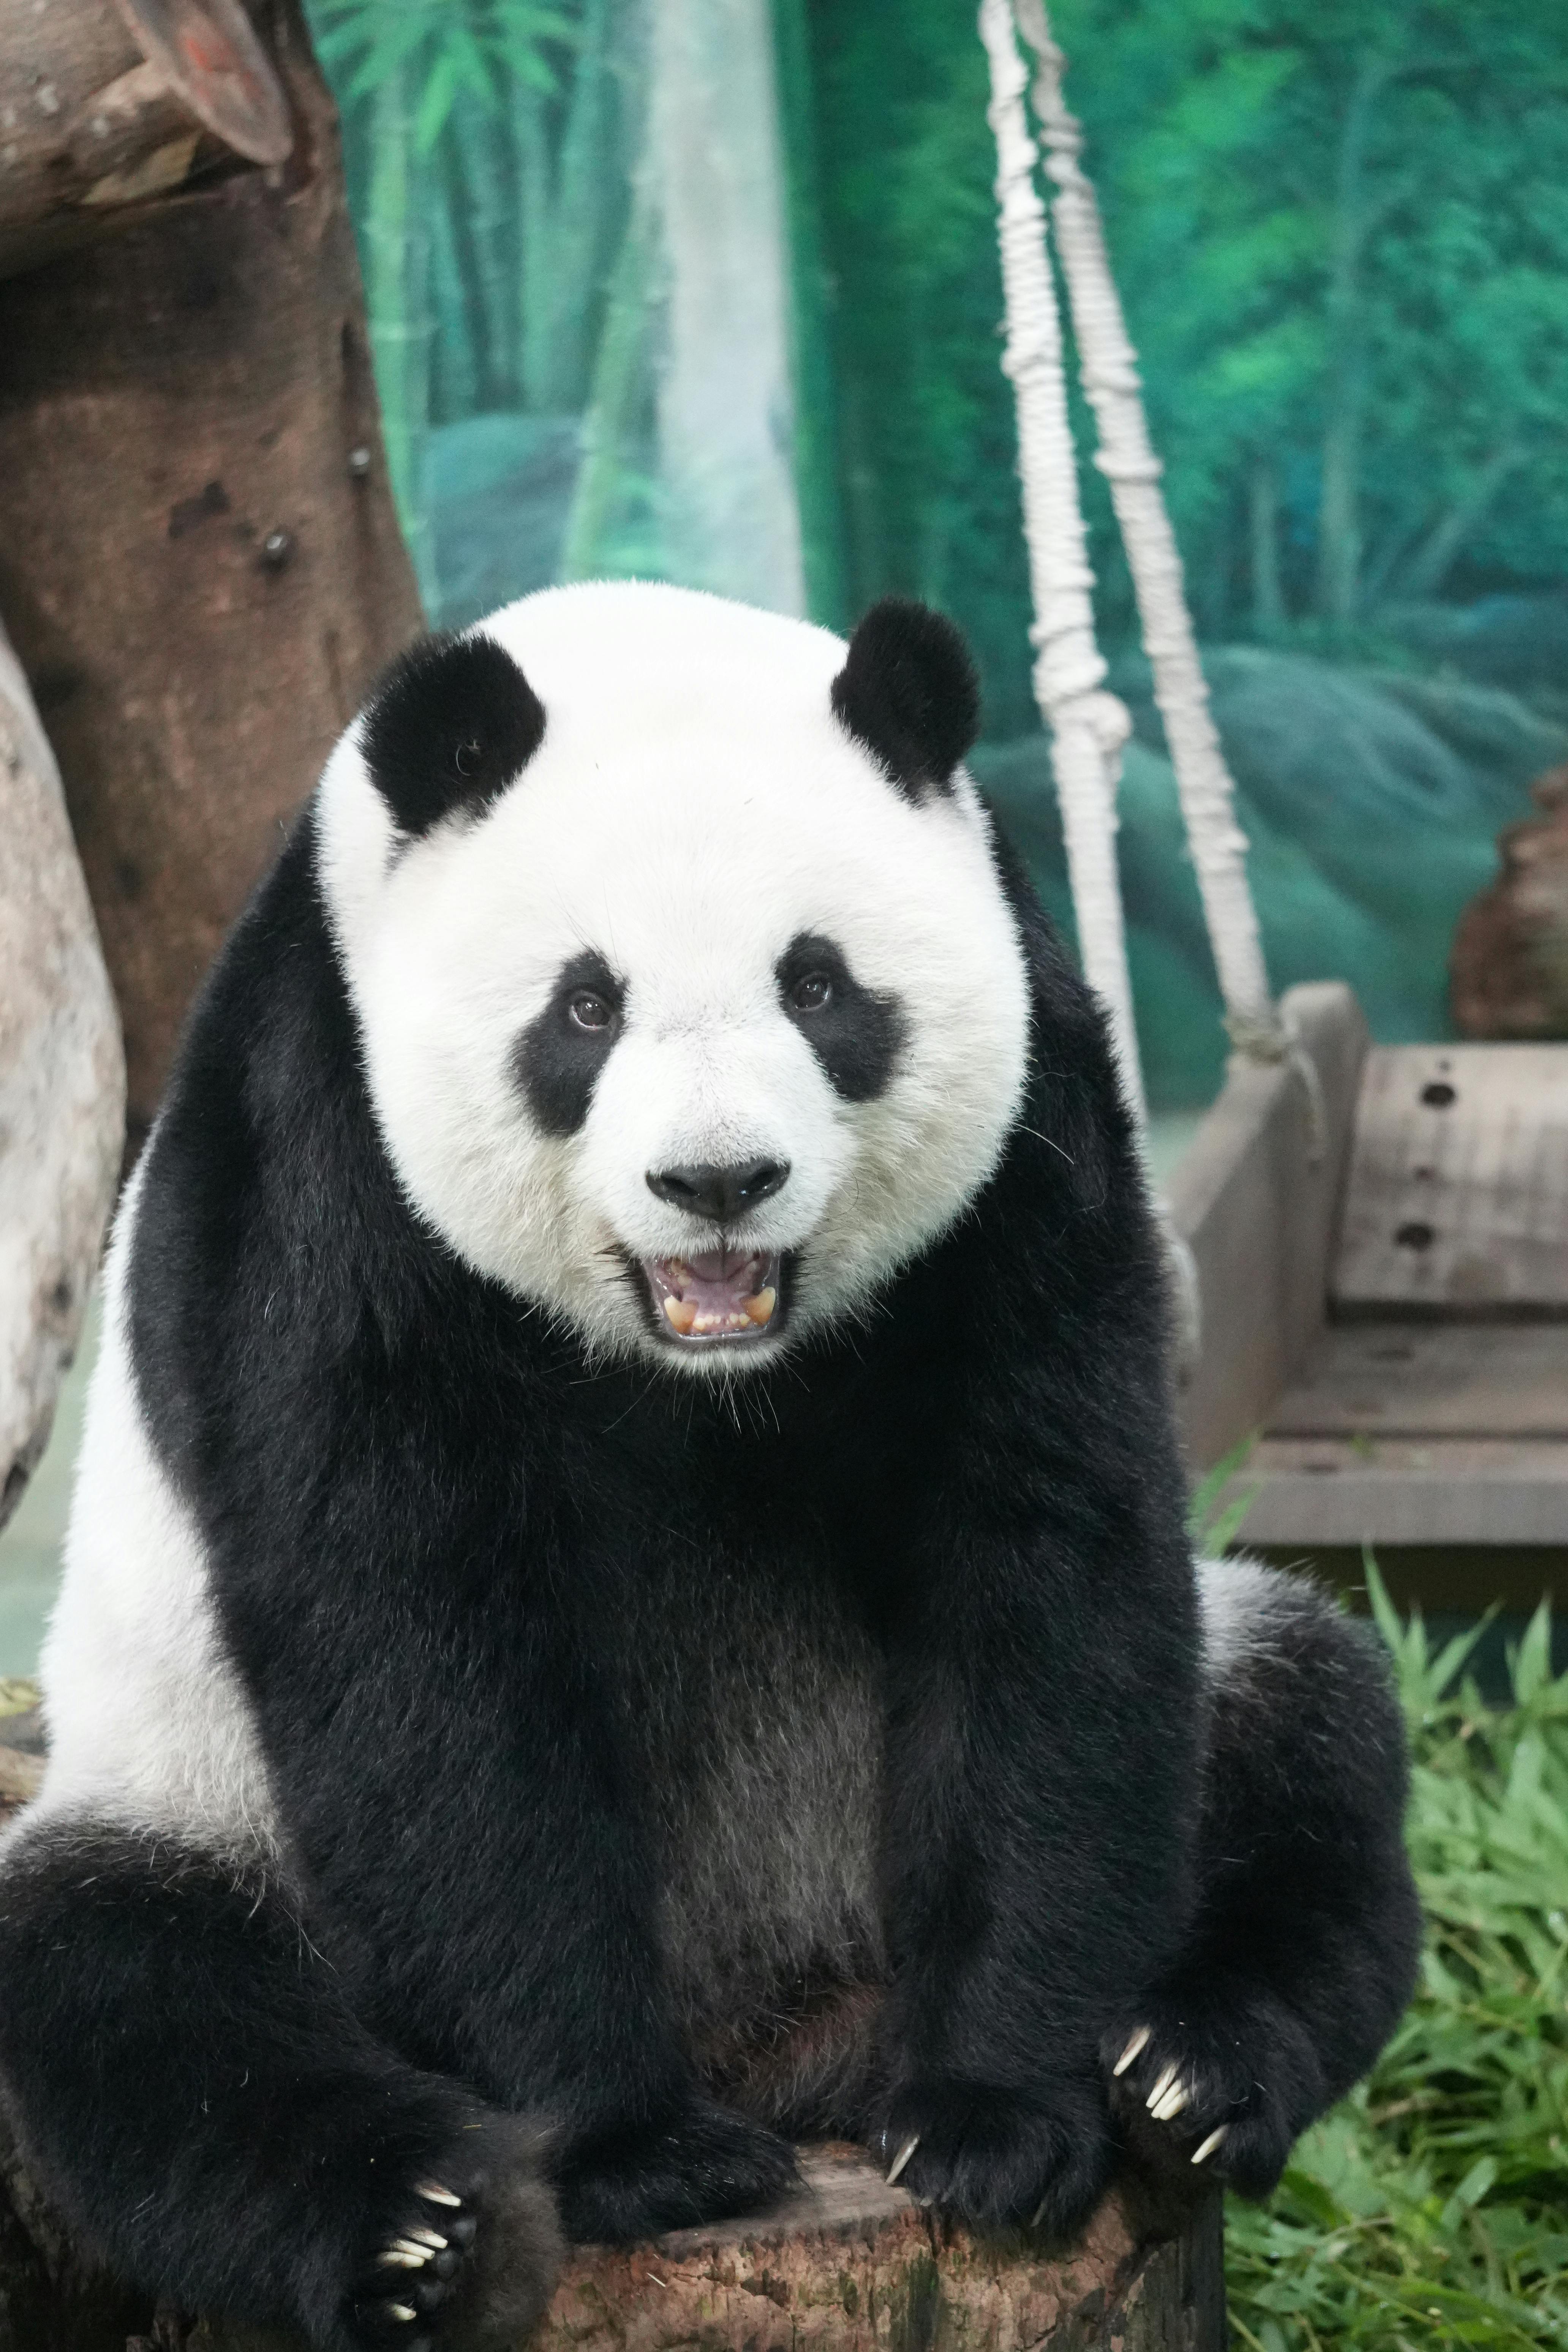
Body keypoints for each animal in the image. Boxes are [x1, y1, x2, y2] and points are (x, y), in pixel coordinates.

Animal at [0, 584, 1419, 2352]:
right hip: (189, 1787)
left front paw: (998, 2111)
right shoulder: (318, 1149)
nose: (719, 1180)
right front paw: (627, 2150)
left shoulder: (1036, 1142)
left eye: (818, 986)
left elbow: (1040, 1563)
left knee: (1303, 1710)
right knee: (133, 1990)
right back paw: (419, 2223)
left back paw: (1186, 2067)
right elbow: (415, 1636)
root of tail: (776, 2047)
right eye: (584, 1007)